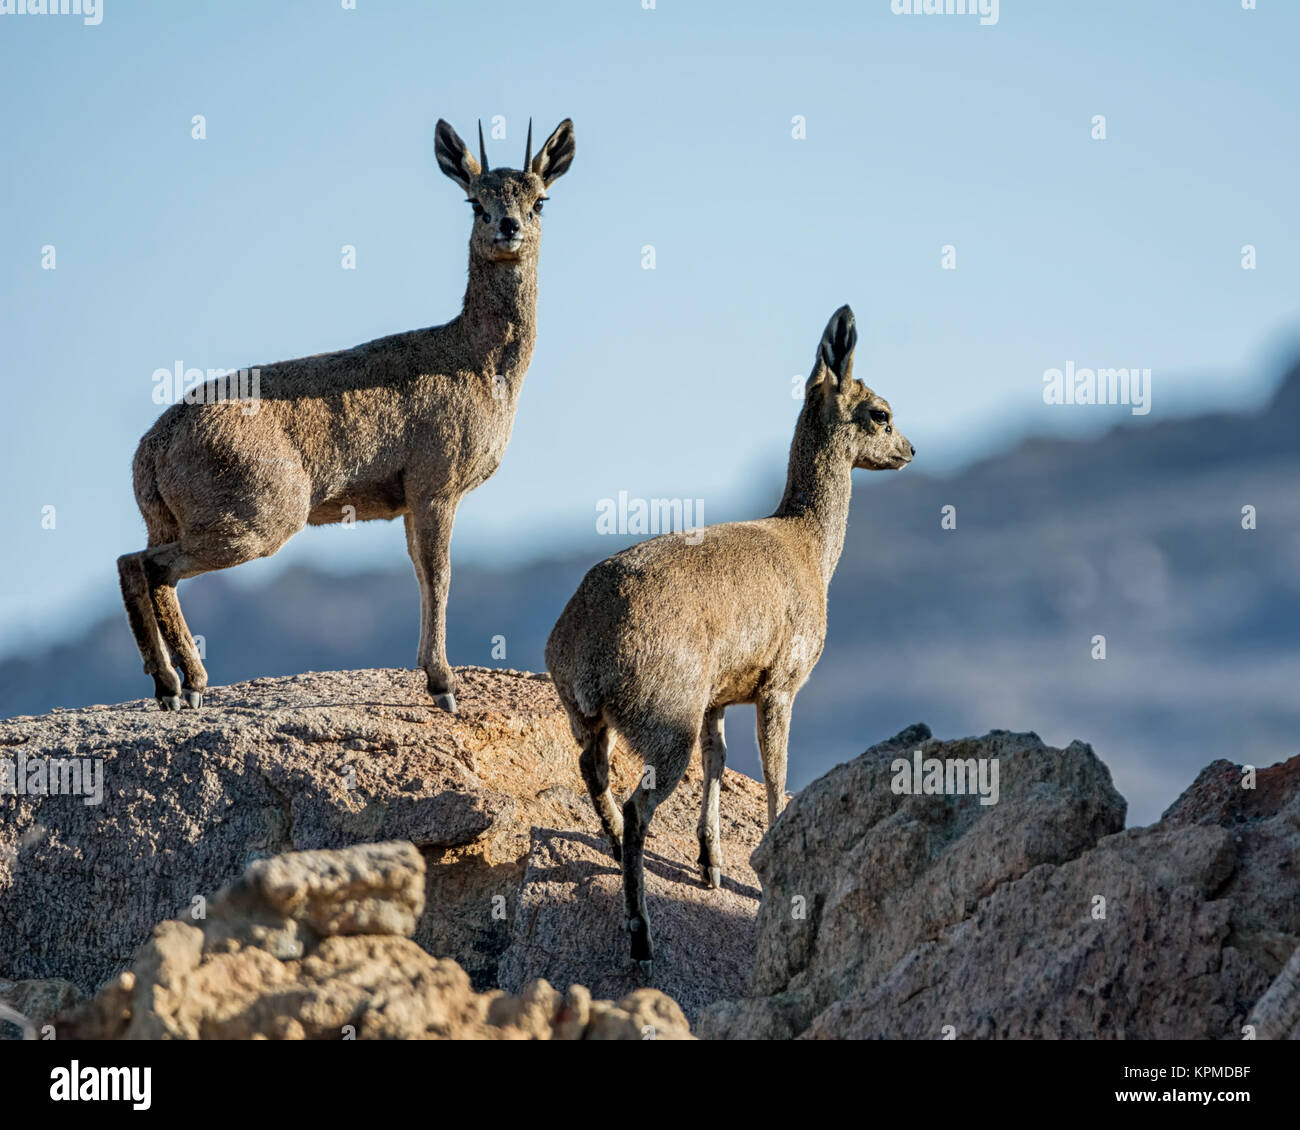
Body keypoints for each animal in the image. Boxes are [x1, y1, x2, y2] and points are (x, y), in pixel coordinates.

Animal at [117, 117, 574, 712]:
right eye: (475, 202)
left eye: (540, 199)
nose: (508, 227)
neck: (478, 361)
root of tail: (152, 445)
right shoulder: (435, 484)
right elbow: (440, 574)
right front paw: (444, 685)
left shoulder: (409, 500)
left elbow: (421, 572)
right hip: (257, 519)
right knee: (146, 566)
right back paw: (182, 684)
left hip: (172, 520)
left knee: (139, 566)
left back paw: (176, 684)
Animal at [545, 306, 914, 973]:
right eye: (880, 412)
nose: (909, 449)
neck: (809, 547)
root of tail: (581, 646)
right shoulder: (780, 684)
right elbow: (776, 768)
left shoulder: (719, 696)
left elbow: (719, 761)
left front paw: (711, 864)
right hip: (666, 721)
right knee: (638, 806)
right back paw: (641, 933)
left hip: (595, 719)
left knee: (594, 770)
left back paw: (610, 849)